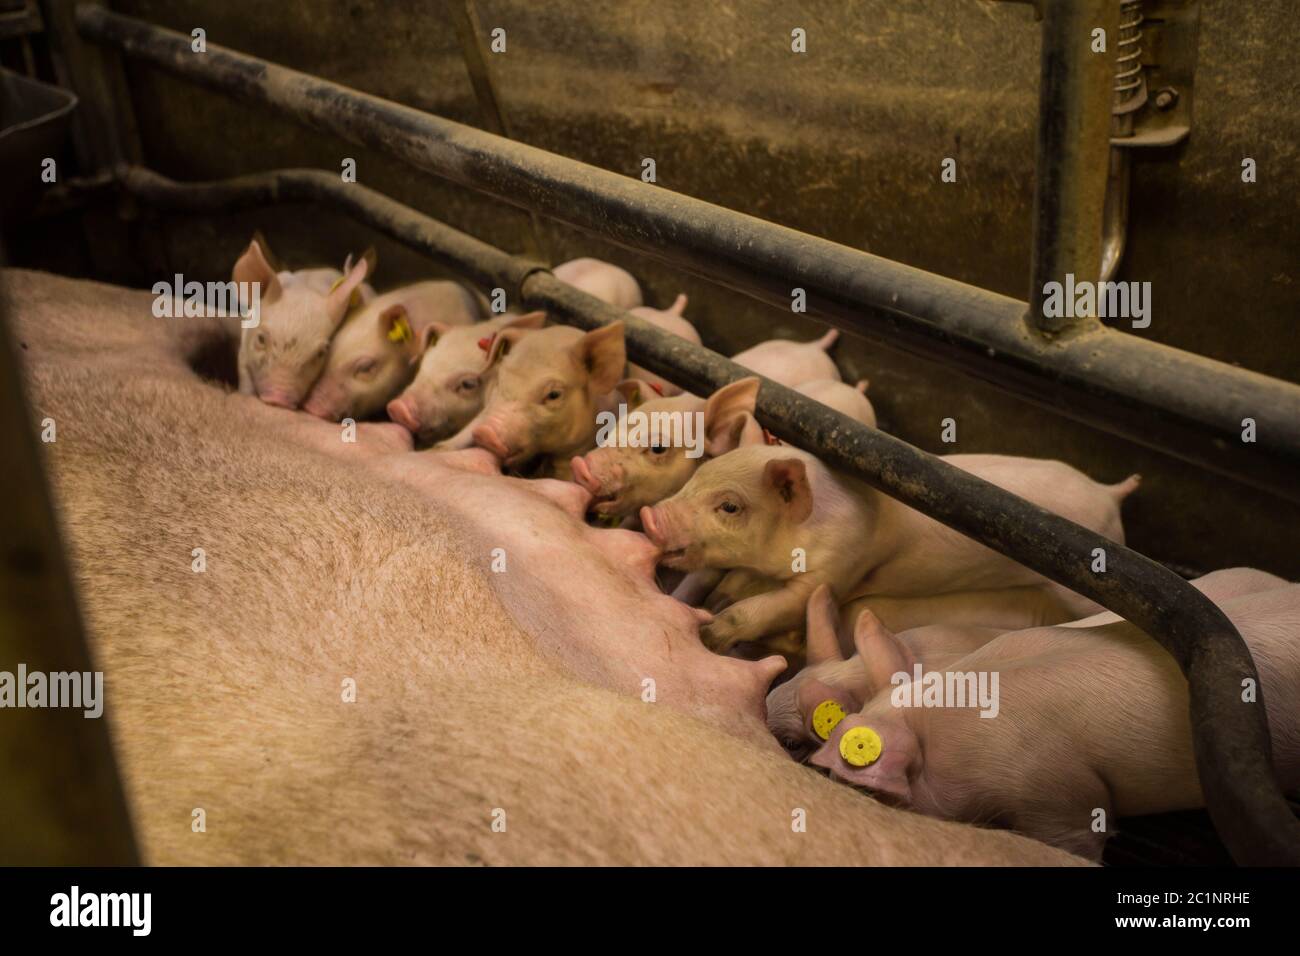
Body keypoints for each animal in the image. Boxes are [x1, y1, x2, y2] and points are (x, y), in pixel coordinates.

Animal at [640, 439, 1139, 651]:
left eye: (729, 506)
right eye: (697, 478)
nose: (650, 517)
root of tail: (1108, 493)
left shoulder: (839, 566)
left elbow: (775, 606)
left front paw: (709, 632)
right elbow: (742, 581)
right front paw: (718, 599)